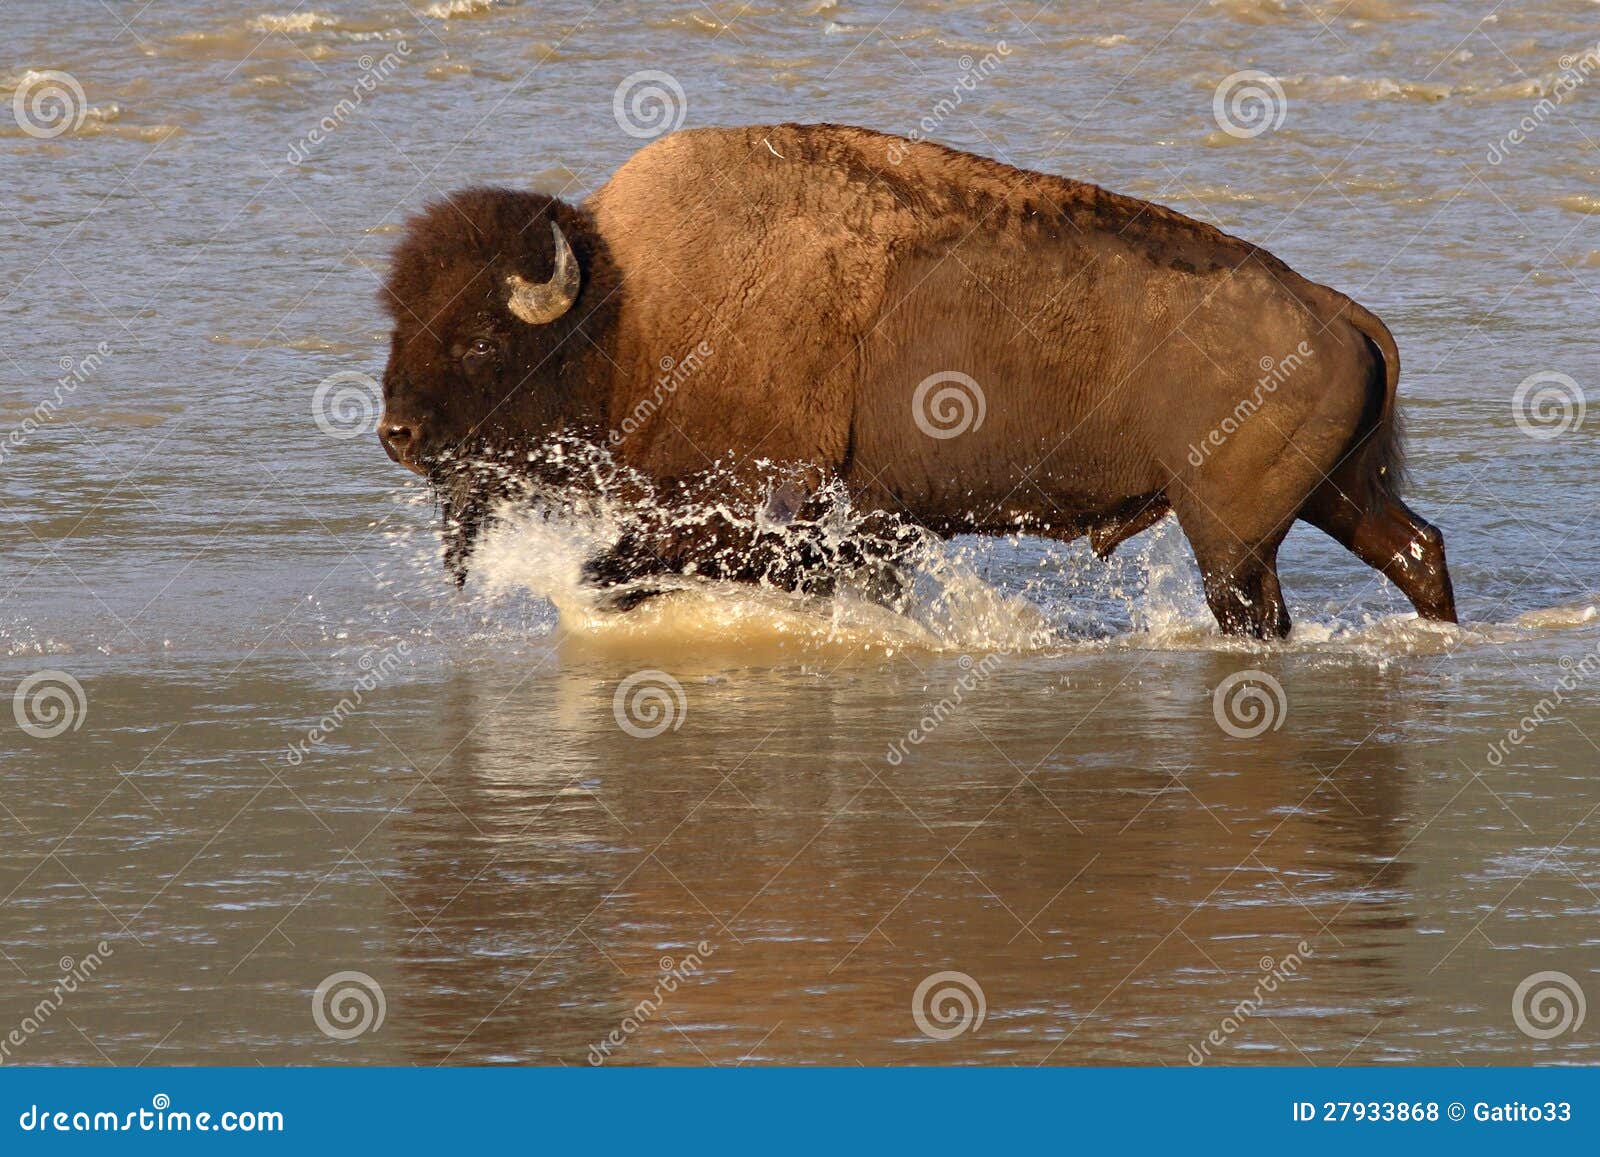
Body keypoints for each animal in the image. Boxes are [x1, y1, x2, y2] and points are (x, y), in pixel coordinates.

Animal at [377, 122, 1457, 638]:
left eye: (481, 342)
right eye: (398, 317)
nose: (396, 433)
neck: (629, 309)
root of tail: (1335, 309)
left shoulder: (746, 507)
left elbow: (614, 571)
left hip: (1230, 533)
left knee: (1262, 605)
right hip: (1329, 494)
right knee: (1414, 548)